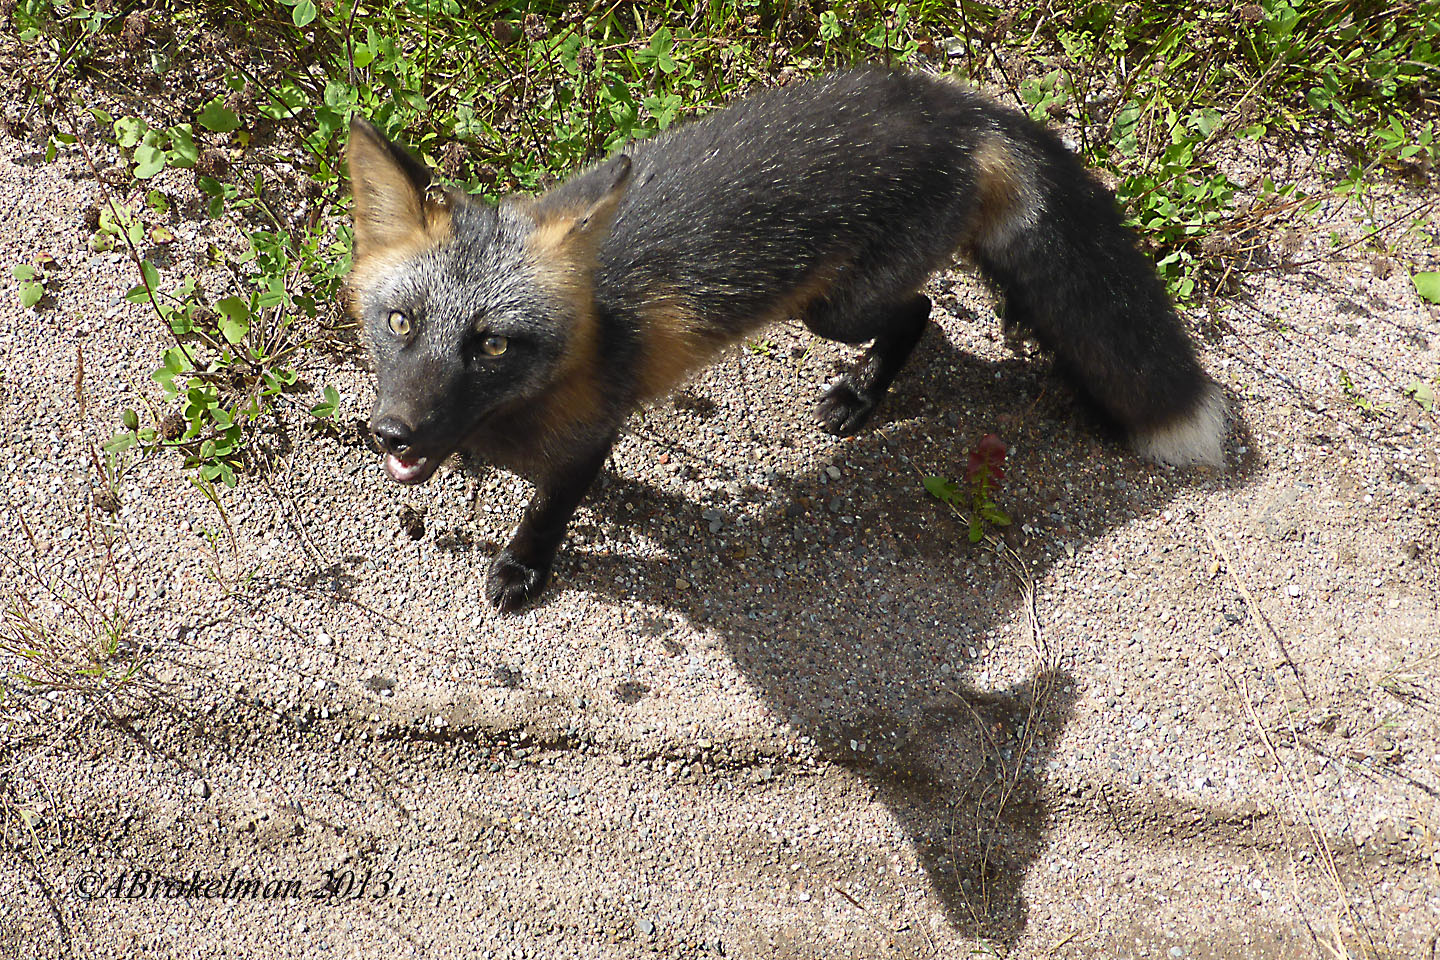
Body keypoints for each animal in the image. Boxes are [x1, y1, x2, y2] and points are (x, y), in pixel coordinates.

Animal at [344, 67, 1226, 612]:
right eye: (400, 323)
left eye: (492, 345)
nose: (395, 432)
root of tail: (955, 105)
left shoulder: (595, 432)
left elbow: (550, 508)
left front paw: (525, 566)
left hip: (834, 310)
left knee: (922, 313)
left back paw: (864, 394)